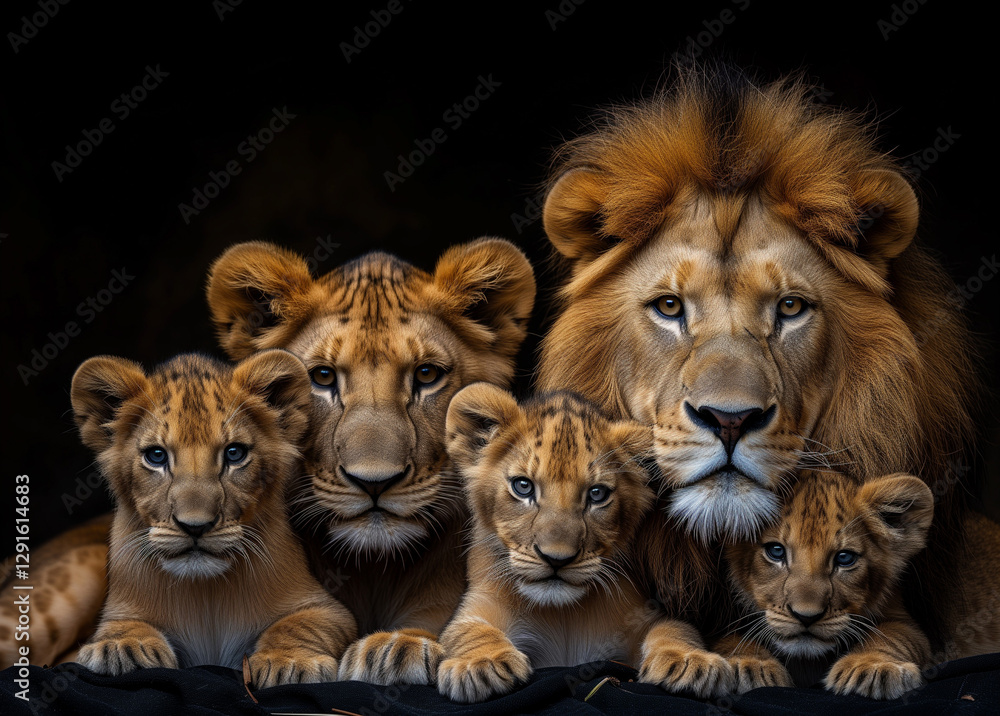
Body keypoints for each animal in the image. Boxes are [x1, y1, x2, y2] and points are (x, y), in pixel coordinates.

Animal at [70, 351, 357, 687]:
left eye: (234, 453)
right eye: (156, 456)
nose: (195, 526)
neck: (206, 593)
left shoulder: (328, 609)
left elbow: (299, 624)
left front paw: (288, 660)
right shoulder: (116, 611)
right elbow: (123, 625)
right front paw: (123, 646)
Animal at [206, 238, 535, 684]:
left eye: (427, 374)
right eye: (323, 377)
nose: (374, 482)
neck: (374, 572)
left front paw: (397, 644)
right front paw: (284, 658)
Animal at [438, 385, 734, 702]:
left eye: (596, 494)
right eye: (523, 487)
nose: (556, 559)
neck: (563, 613)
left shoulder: (641, 617)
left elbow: (673, 628)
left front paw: (691, 662)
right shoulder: (479, 604)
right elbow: (468, 630)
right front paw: (483, 663)